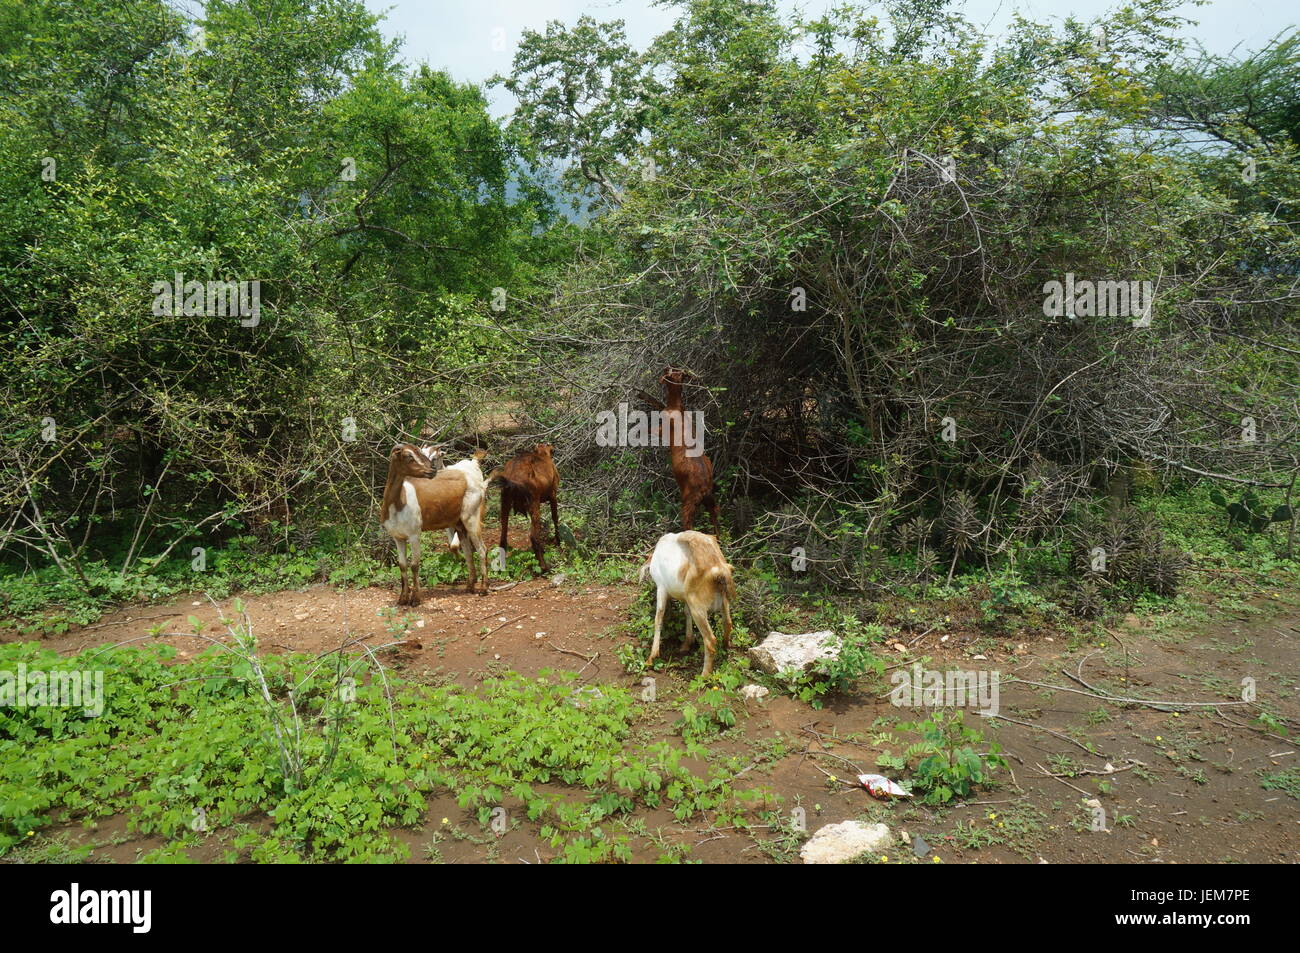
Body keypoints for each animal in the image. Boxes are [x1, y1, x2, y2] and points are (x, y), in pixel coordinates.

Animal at [488, 444, 561, 572]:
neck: (542, 454)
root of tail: (514, 478)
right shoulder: (553, 495)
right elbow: (555, 518)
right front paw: (559, 541)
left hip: (505, 504)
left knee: (503, 538)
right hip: (534, 505)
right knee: (533, 537)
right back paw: (544, 566)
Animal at [637, 527, 733, 676]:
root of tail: (719, 570)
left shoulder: (661, 588)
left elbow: (659, 617)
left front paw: (651, 657)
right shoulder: (686, 598)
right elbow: (686, 613)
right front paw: (687, 643)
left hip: (698, 608)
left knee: (710, 640)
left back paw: (704, 675)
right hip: (723, 601)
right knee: (728, 623)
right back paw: (725, 647)